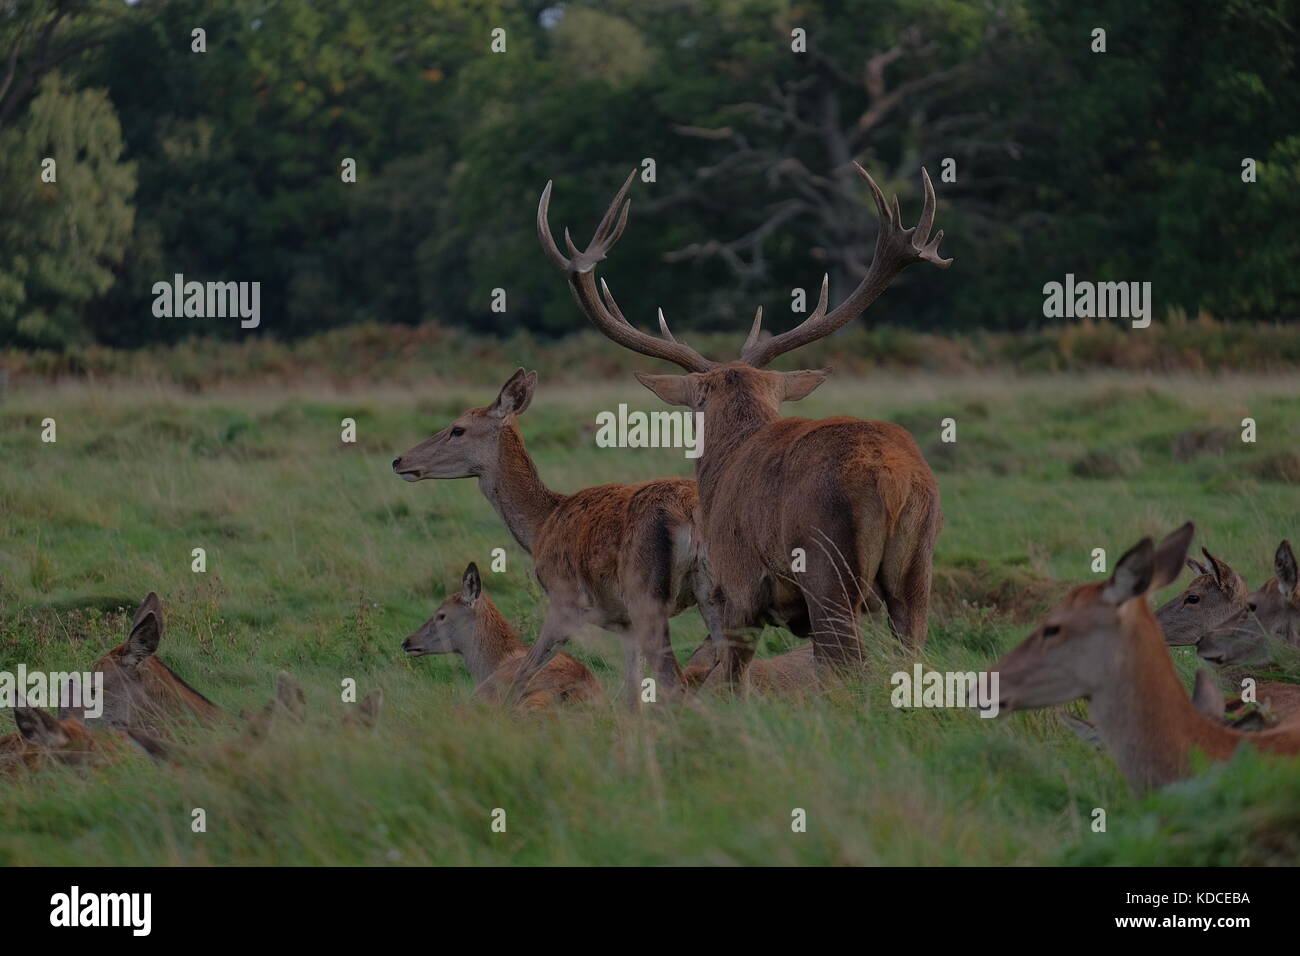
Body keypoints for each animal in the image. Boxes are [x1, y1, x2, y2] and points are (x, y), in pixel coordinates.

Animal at [533, 165, 946, 690]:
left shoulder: (736, 584)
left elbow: (732, 680)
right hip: (918, 569)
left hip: (827, 571)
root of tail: (893, 480)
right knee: (912, 653)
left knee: (849, 664)